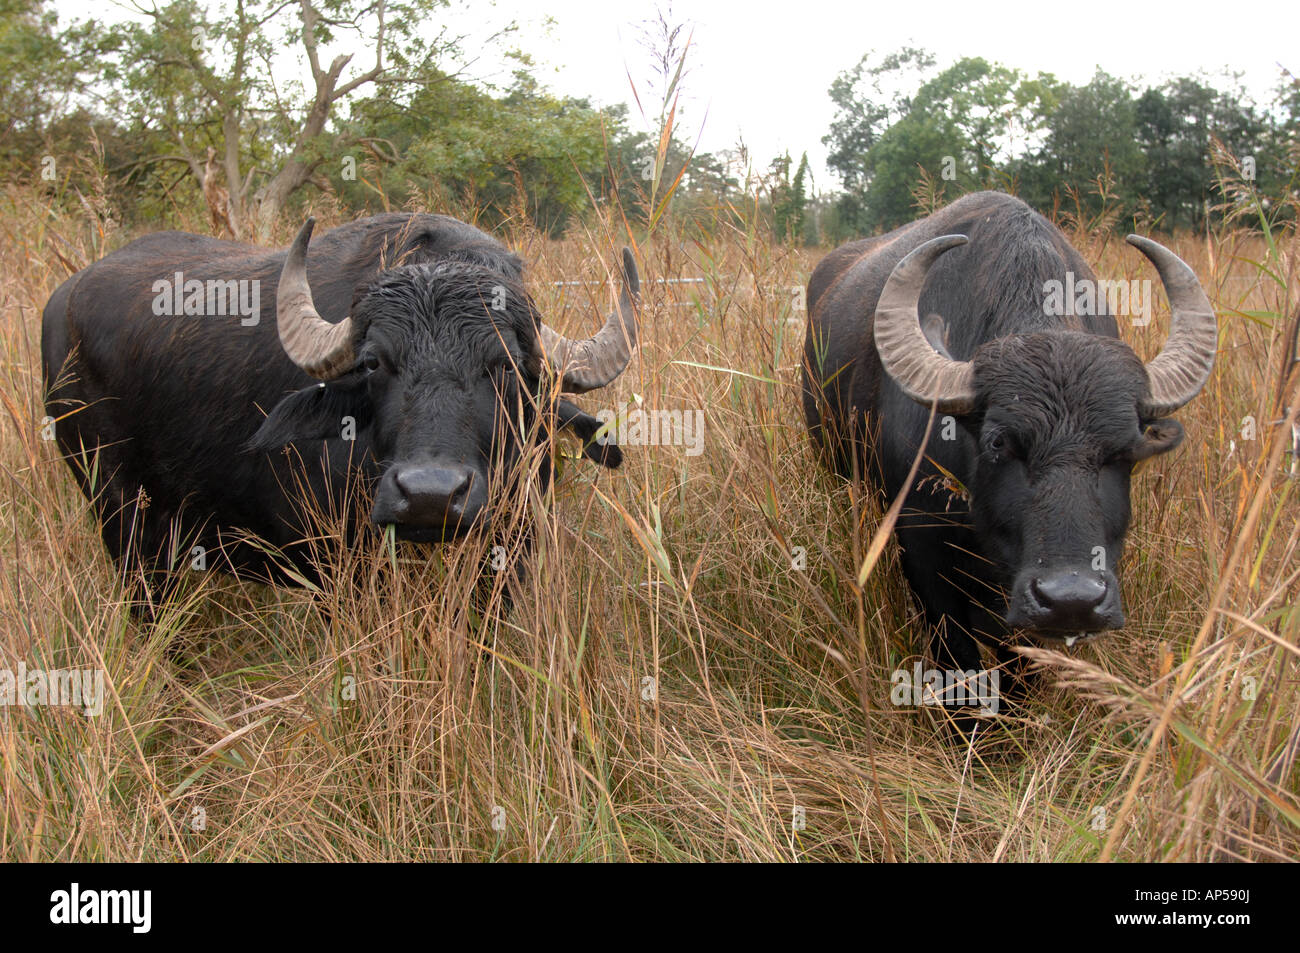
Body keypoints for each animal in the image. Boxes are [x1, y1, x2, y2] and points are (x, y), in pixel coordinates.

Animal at [42, 212, 639, 600]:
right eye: (374, 362)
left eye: (507, 365)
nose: (429, 496)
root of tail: (63, 301)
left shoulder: (511, 550)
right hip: (116, 510)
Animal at [801, 191, 1216, 692]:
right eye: (998, 444)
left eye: (1126, 452)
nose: (1072, 600)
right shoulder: (919, 545)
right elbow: (955, 654)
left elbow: (1020, 661)